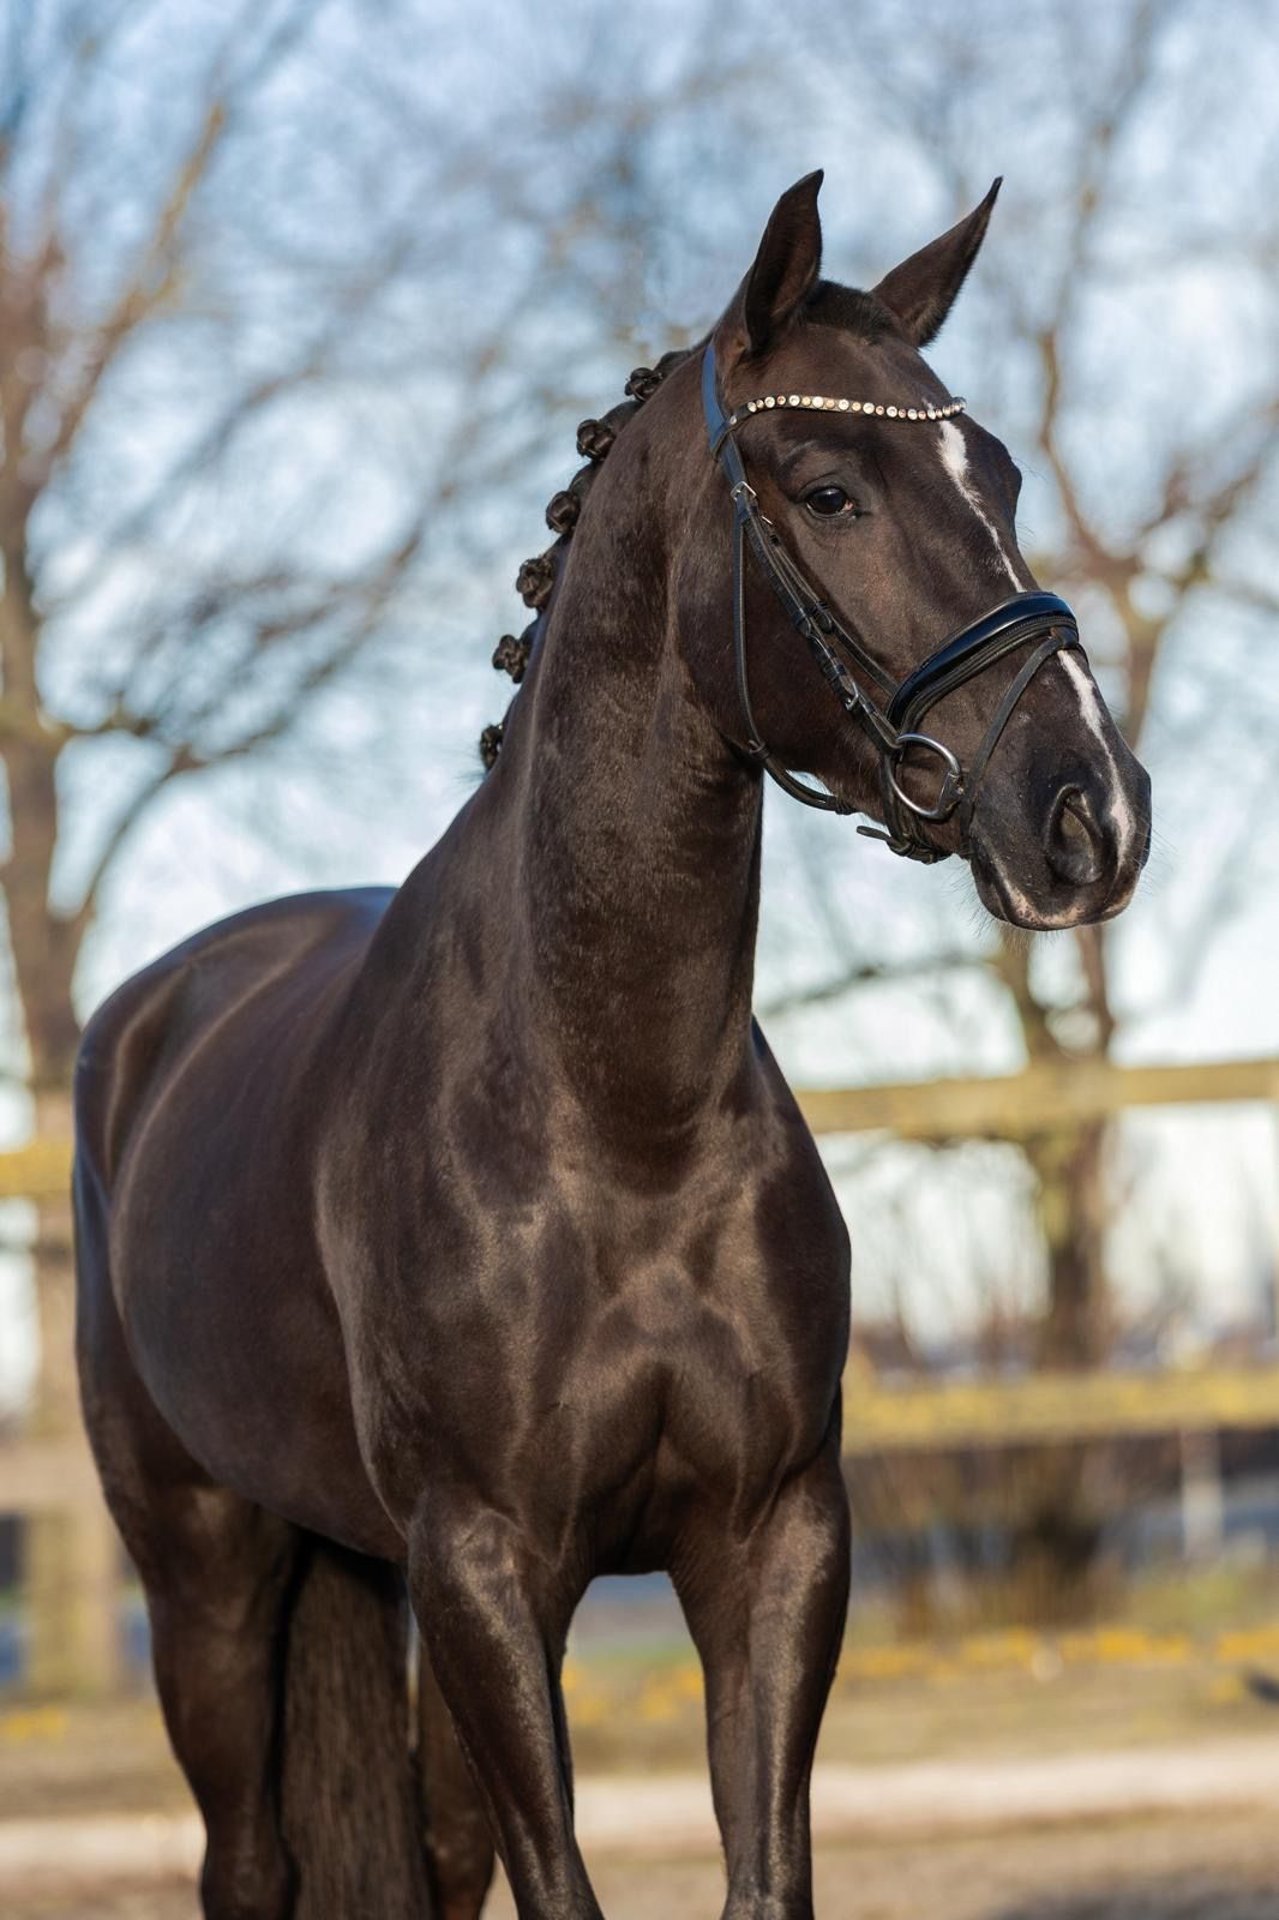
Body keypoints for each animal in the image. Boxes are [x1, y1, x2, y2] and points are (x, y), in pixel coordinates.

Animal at [73, 171, 1150, 1920]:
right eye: (828, 490)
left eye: (990, 473)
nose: (1089, 815)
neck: (613, 1115)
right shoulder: (485, 1564)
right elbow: (557, 1879)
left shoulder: (773, 1543)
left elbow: (753, 1877)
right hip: (207, 1575)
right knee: (247, 1860)